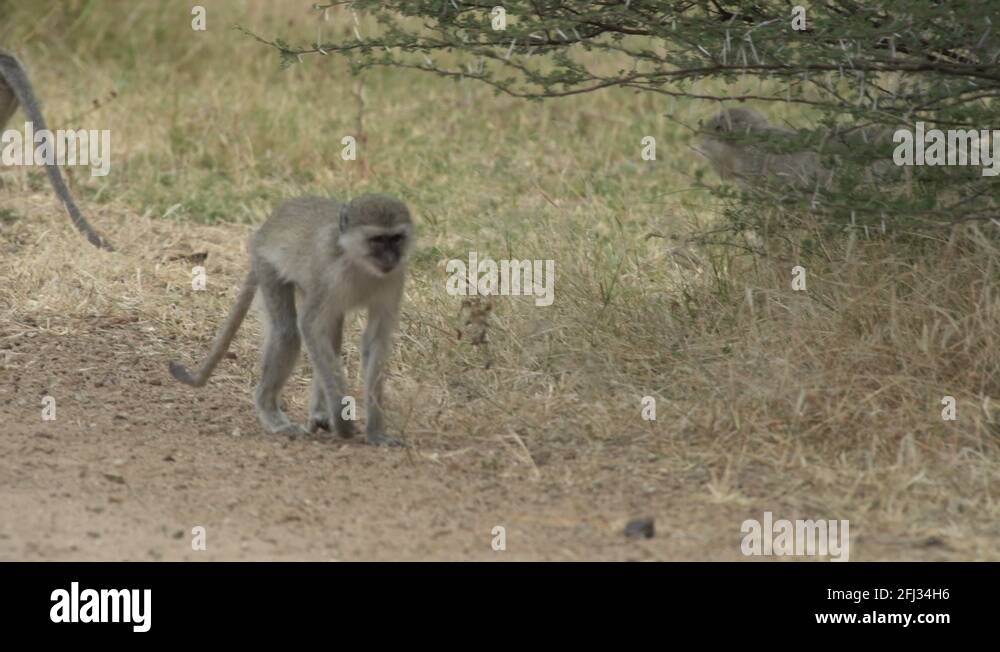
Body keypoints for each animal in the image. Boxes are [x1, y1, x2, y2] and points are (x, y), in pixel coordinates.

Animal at [169, 193, 414, 447]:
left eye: (396, 239)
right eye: (378, 240)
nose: (391, 258)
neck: (359, 263)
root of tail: (264, 230)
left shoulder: (395, 278)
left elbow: (374, 341)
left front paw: (376, 433)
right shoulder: (326, 274)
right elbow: (309, 327)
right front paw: (342, 418)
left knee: (330, 337)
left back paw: (319, 412)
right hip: (267, 265)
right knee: (288, 333)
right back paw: (271, 412)